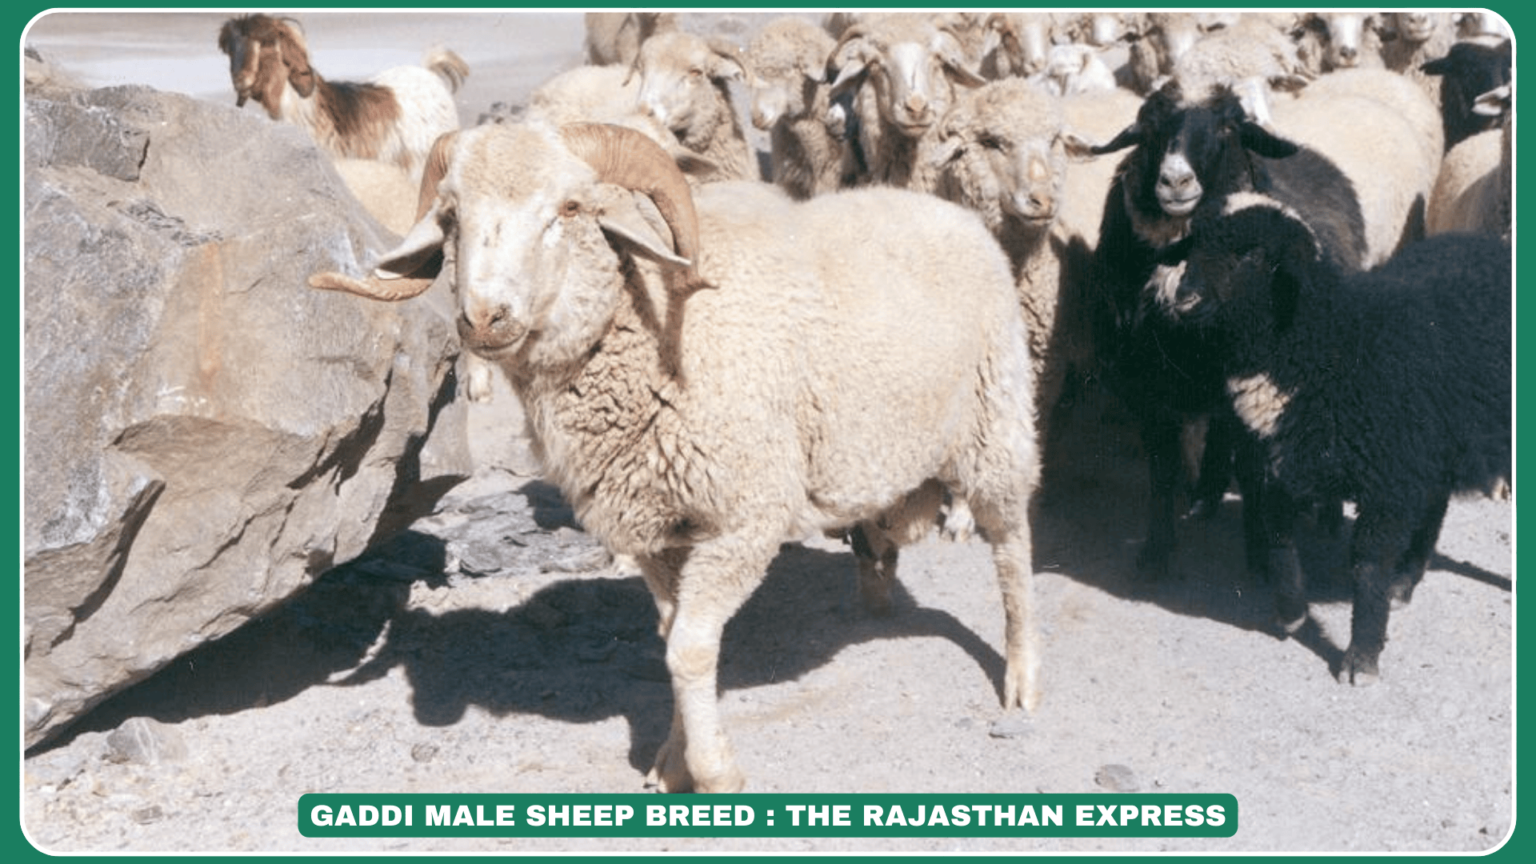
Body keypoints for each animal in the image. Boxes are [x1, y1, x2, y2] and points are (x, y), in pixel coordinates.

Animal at [309, 121, 1042, 793]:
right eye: (451, 217)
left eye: (570, 208)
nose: (485, 318)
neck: (653, 323)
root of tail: (948, 211)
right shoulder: (658, 531)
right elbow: (669, 640)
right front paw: (671, 760)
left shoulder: (746, 519)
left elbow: (689, 649)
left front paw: (715, 772)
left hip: (996, 420)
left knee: (1012, 551)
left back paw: (1022, 678)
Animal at [1149, 194, 1511, 684]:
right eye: (1196, 243)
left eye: (1254, 255)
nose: (1184, 297)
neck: (1330, 347)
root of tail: (1494, 247)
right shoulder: (1277, 468)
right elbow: (1280, 542)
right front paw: (1292, 613)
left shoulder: (1387, 479)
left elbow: (1368, 566)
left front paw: (1362, 656)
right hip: (1434, 441)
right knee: (1436, 504)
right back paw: (1406, 581)